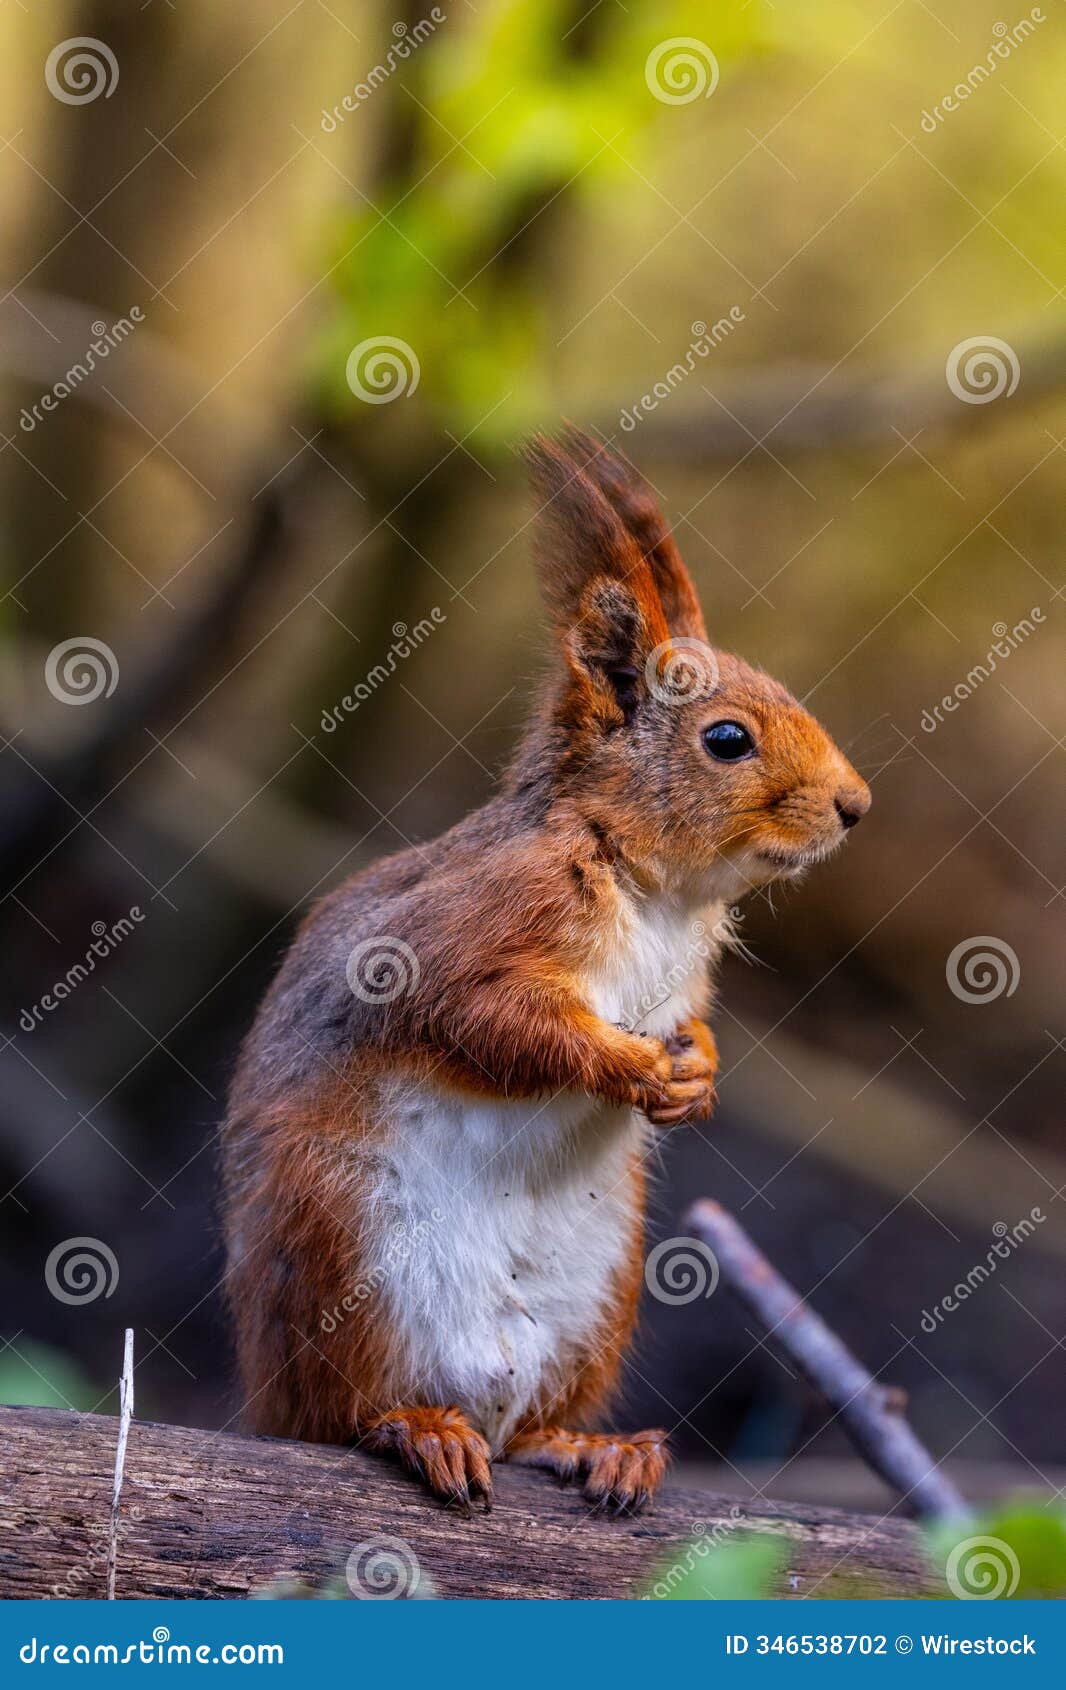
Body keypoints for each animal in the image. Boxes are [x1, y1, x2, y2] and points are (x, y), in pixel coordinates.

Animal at [221, 427, 870, 1515]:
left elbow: (691, 1027)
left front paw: (696, 1073)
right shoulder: (459, 941)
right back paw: (418, 1427)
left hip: (600, 1289)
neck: (653, 890)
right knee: (341, 1413)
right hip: (339, 1245)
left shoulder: (683, 978)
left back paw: (590, 1447)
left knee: (527, 1423)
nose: (855, 805)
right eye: (726, 739)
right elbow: (497, 1024)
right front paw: (631, 1066)